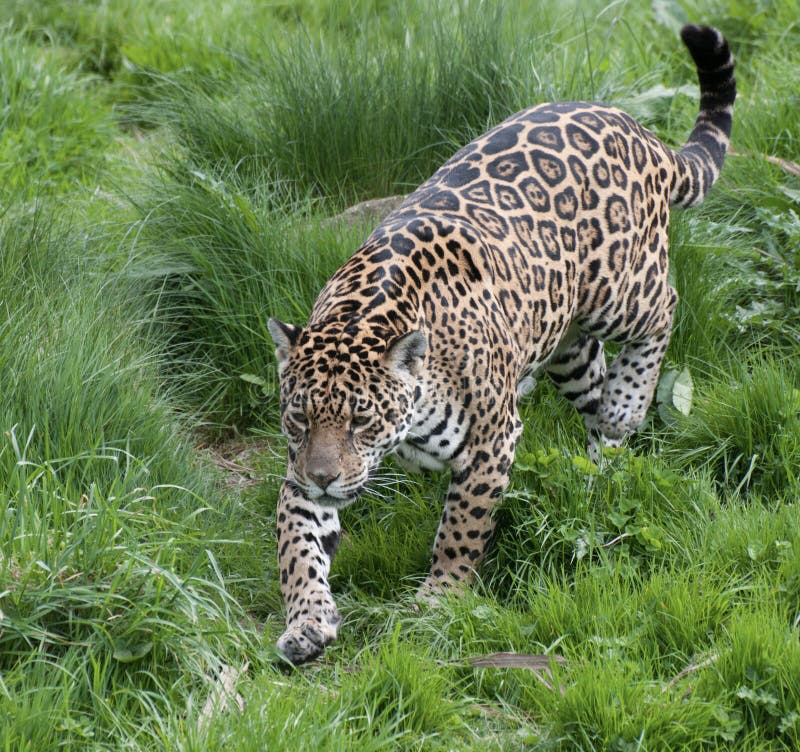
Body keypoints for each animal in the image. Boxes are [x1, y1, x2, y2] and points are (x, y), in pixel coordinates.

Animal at [267, 25, 735, 663]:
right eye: (299, 419)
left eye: (362, 421)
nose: (323, 478)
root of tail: (635, 128)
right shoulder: (299, 474)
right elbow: (297, 547)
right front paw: (307, 621)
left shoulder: (491, 441)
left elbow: (461, 529)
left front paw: (439, 598)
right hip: (563, 340)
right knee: (595, 389)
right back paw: (599, 469)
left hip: (619, 288)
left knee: (665, 307)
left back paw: (627, 404)